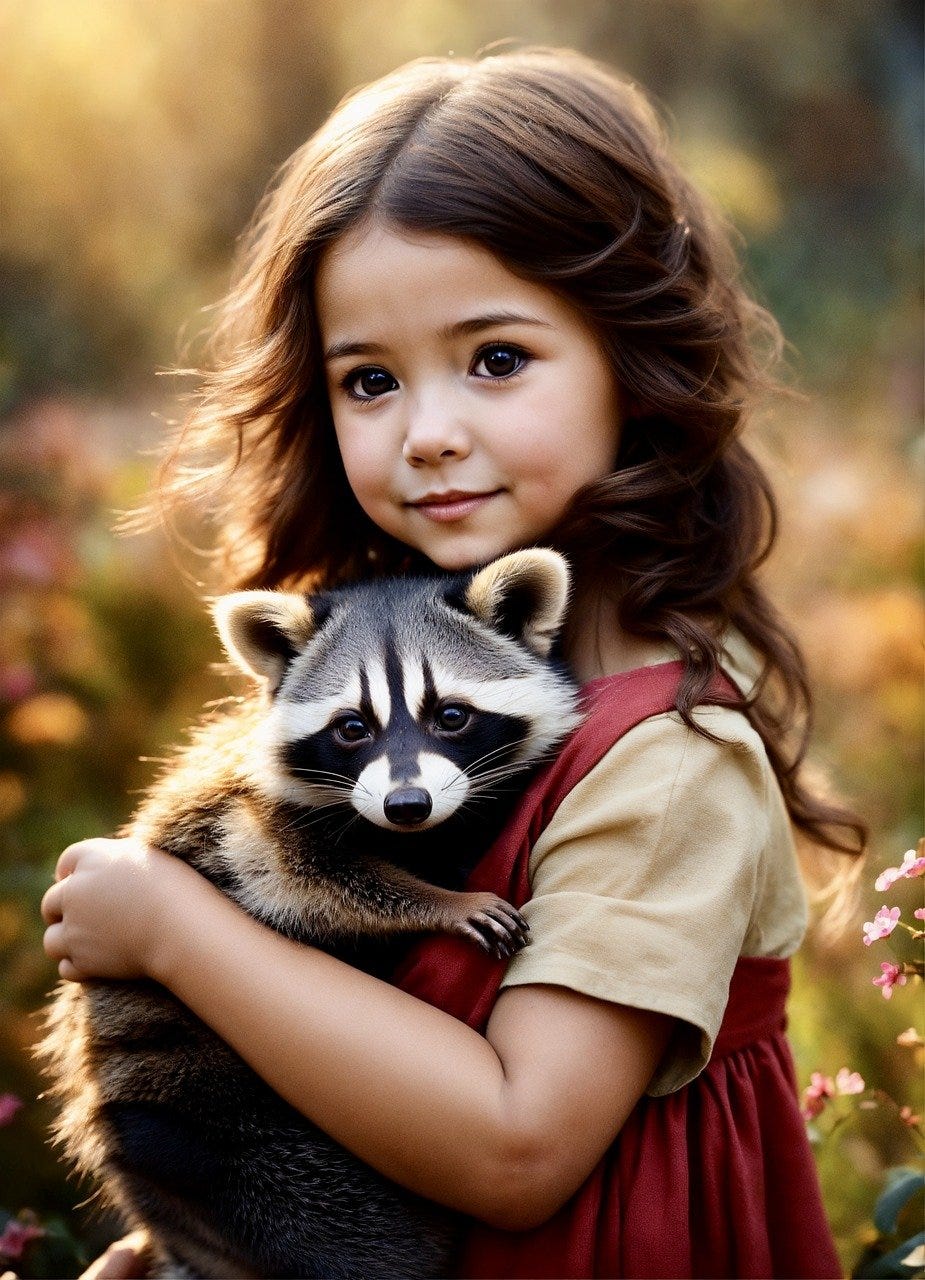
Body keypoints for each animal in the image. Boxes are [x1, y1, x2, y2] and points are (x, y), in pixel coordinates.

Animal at [39, 549, 581, 1280]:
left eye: (450, 715)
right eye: (352, 728)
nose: (406, 805)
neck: (414, 837)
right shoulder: (246, 821)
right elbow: (314, 884)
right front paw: (439, 905)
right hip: (217, 1122)